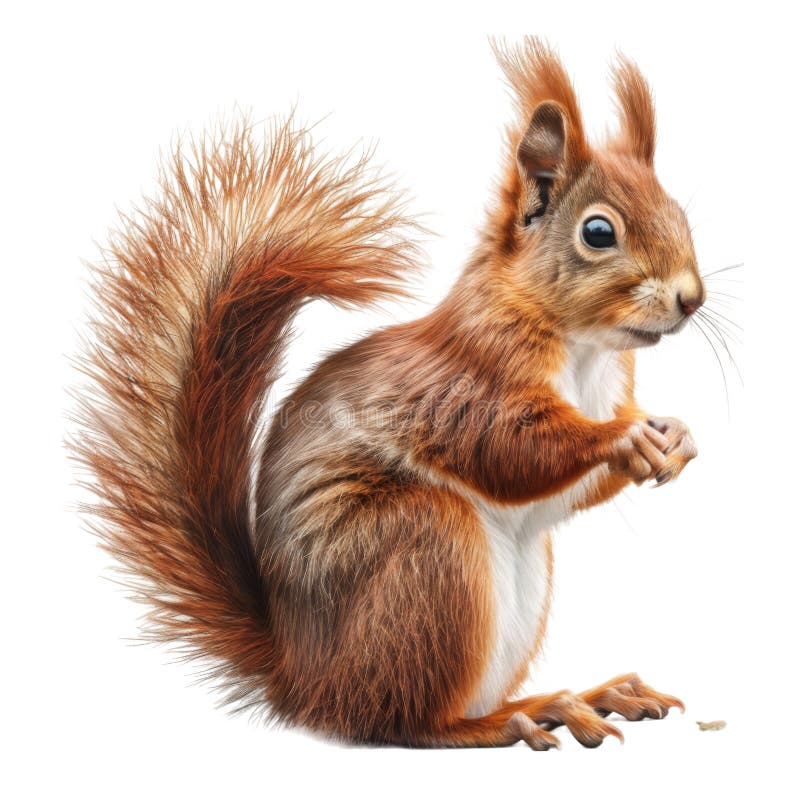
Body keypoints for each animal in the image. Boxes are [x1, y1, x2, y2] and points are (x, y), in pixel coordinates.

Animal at [75, 38, 704, 750]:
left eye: (680, 212)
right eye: (598, 233)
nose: (692, 298)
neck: (585, 350)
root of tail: (301, 680)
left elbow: (564, 492)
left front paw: (676, 435)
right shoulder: (462, 382)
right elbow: (508, 450)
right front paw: (623, 438)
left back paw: (576, 698)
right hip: (427, 552)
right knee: (401, 721)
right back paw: (511, 721)